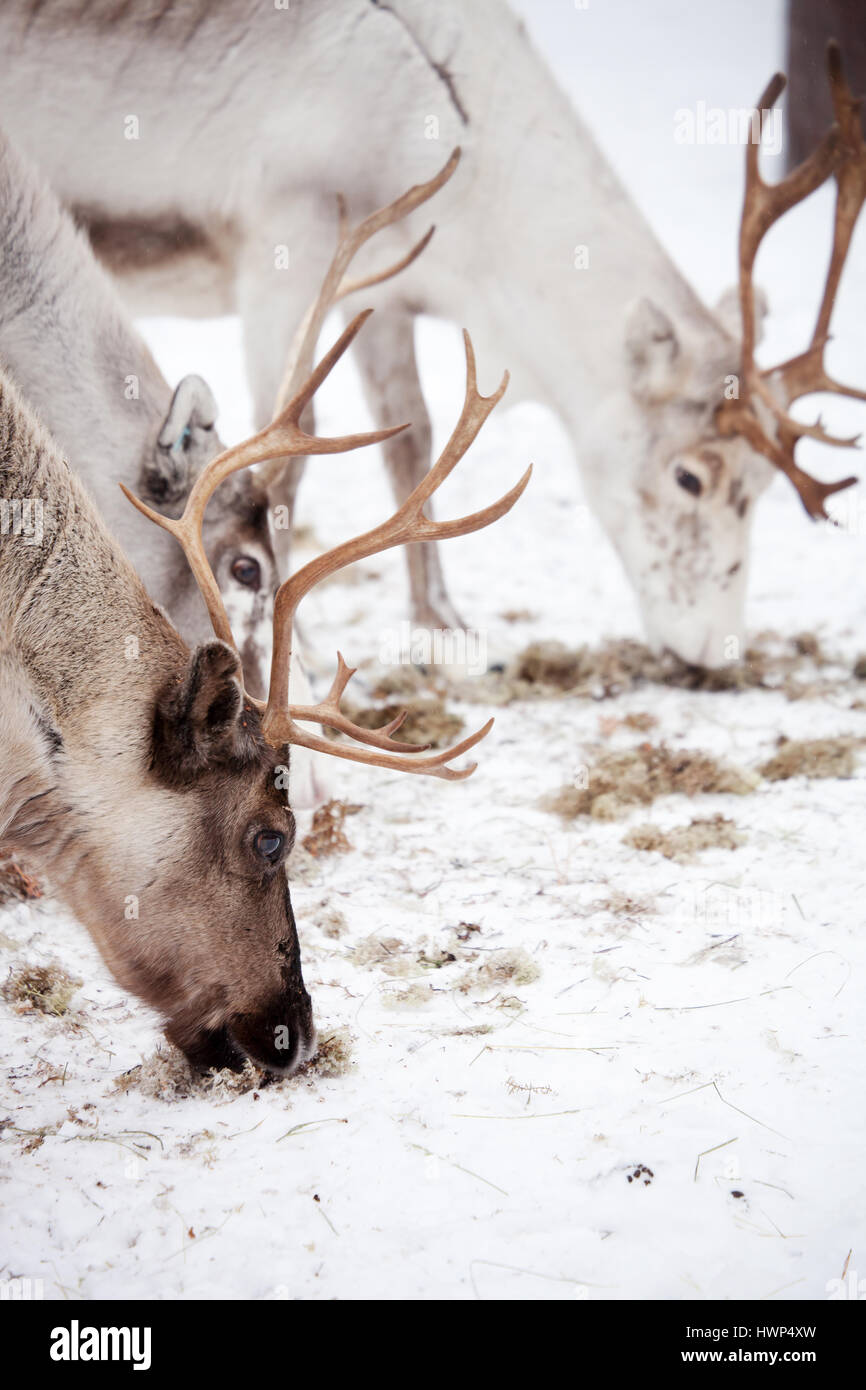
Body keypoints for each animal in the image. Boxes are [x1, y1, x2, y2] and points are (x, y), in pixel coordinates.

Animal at [0, 3, 861, 667]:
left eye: (765, 485)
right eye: (689, 477)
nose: (713, 649)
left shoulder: (383, 293)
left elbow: (410, 443)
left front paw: (440, 621)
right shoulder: (284, 248)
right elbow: (290, 455)